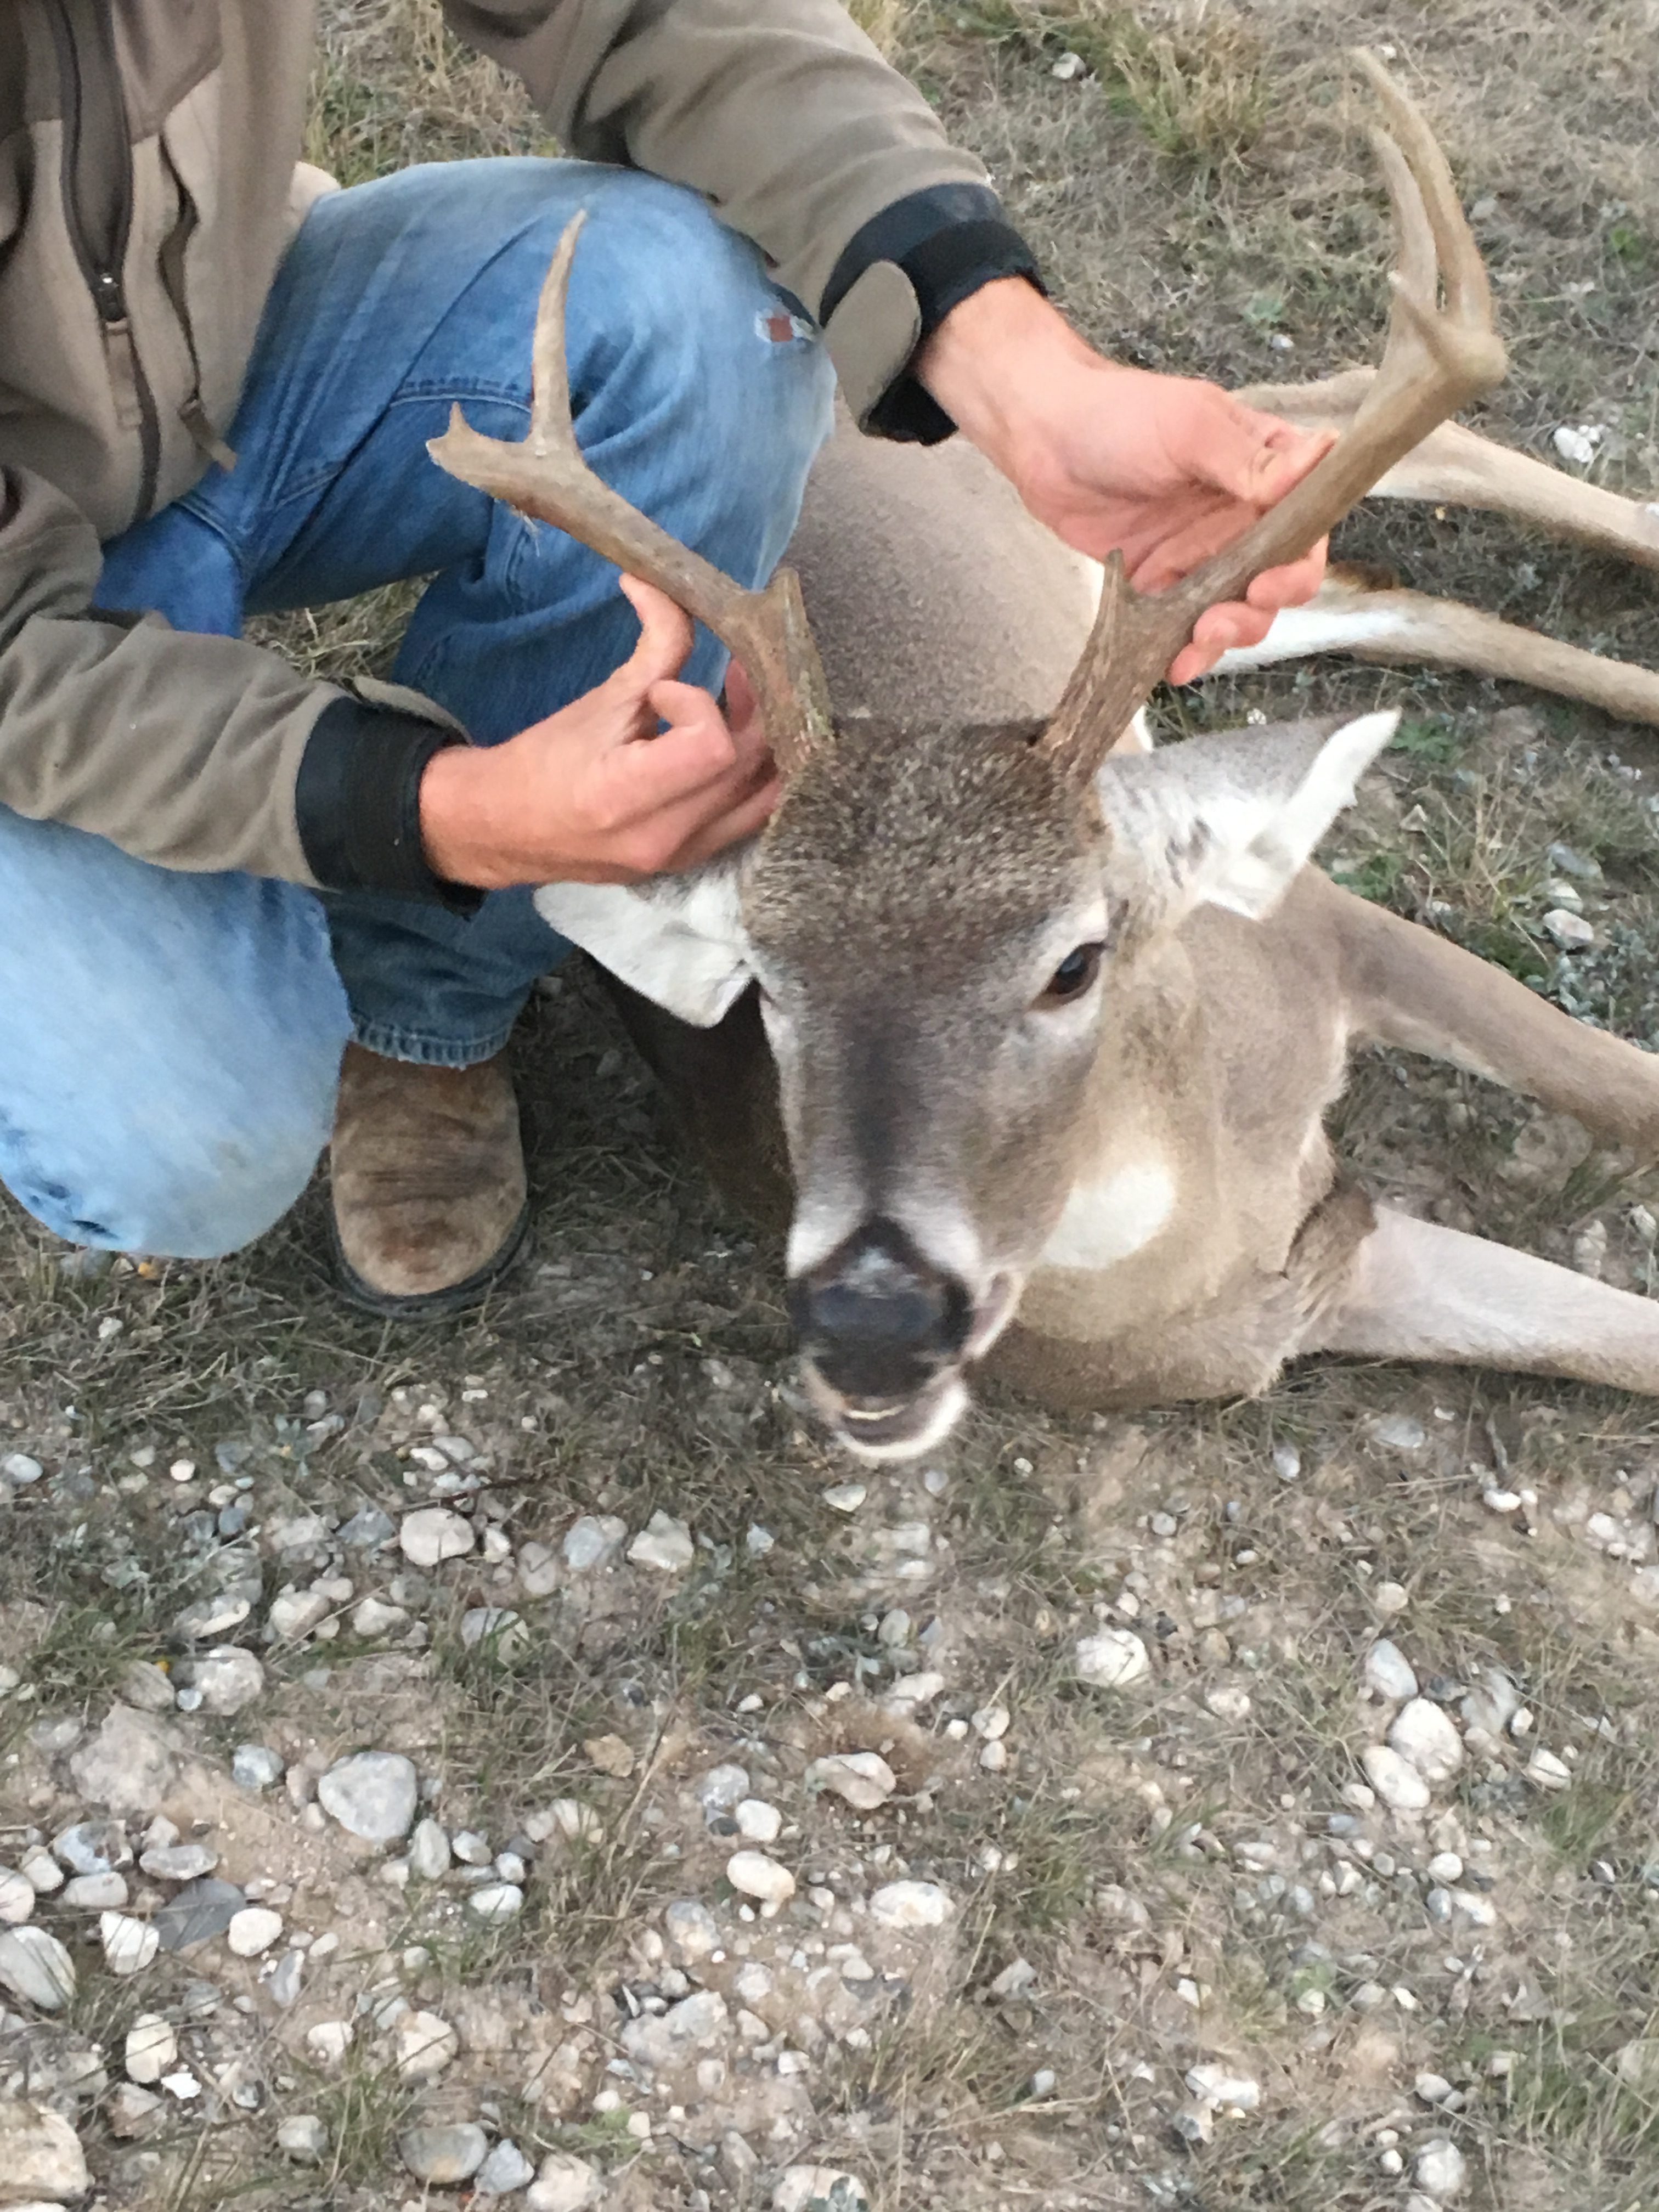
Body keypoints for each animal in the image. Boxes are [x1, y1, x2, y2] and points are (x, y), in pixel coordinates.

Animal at [428, 51, 1659, 1463]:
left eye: (1077, 962)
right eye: (765, 982)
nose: (874, 1322)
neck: (1204, 1201)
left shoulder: (1325, 927)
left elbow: (1626, 1089)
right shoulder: (1315, 1275)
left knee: (1365, 424)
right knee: (1398, 589)